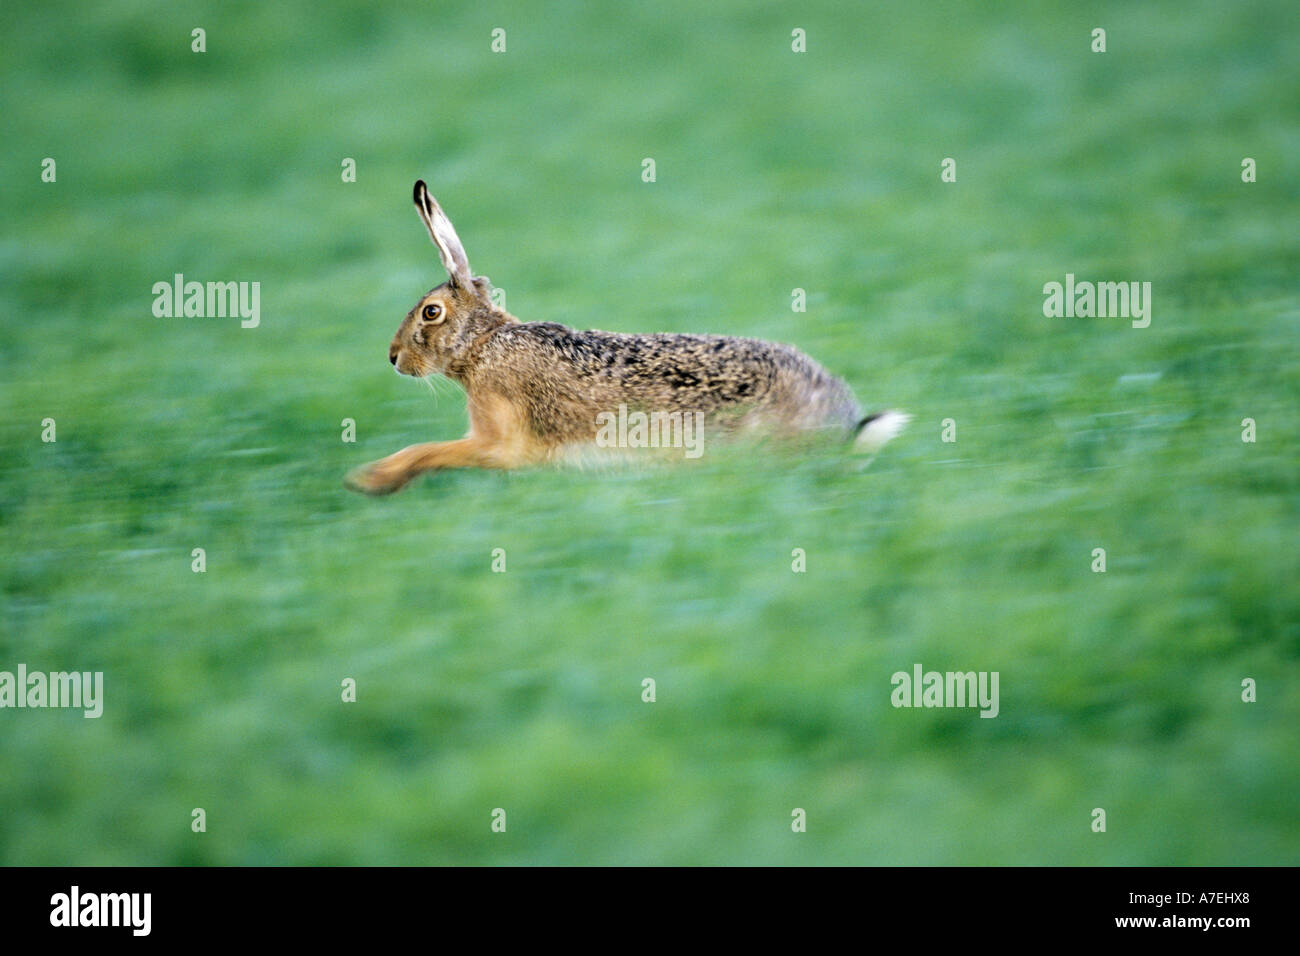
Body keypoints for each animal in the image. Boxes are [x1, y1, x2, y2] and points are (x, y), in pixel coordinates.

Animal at [345, 181, 908, 495]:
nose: (393, 358)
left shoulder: (501, 443)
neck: (483, 346)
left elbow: (430, 450)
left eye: (431, 312)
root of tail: (843, 426)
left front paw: (371, 481)